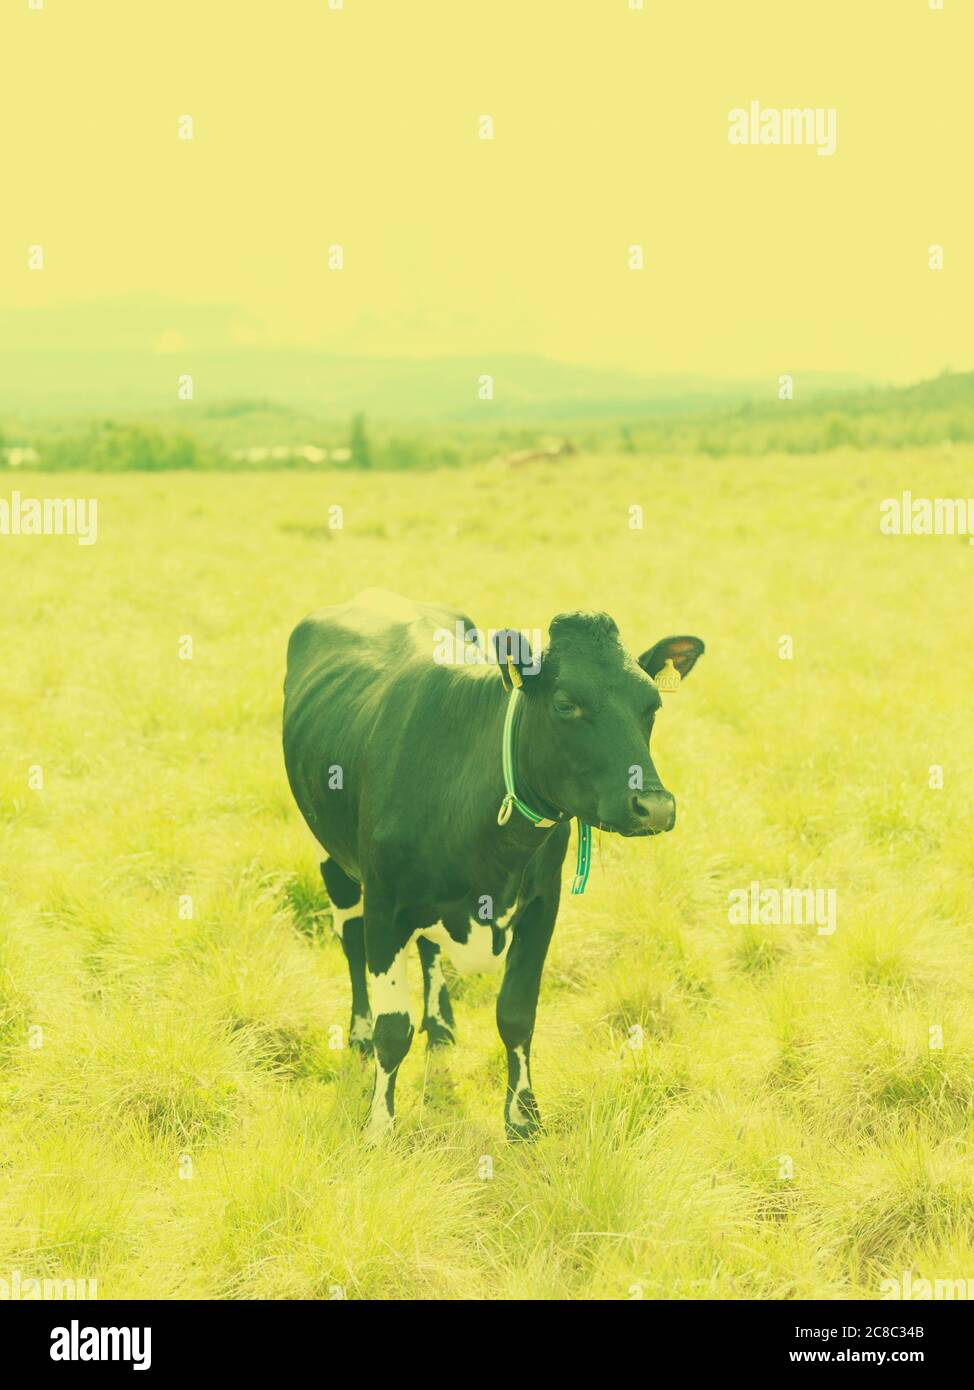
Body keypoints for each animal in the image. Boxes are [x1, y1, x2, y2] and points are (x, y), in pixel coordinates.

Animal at [282, 588, 704, 1142]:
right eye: (566, 704)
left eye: (651, 706)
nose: (654, 806)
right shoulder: (385, 901)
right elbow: (393, 1027)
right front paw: (378, 1126)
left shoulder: (542, 903)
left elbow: (517, 1015)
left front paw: (523, 1118)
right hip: (336, 857)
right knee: (350, 936)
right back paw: (360, 1032)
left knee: (429, 949)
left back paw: (441, 1024)